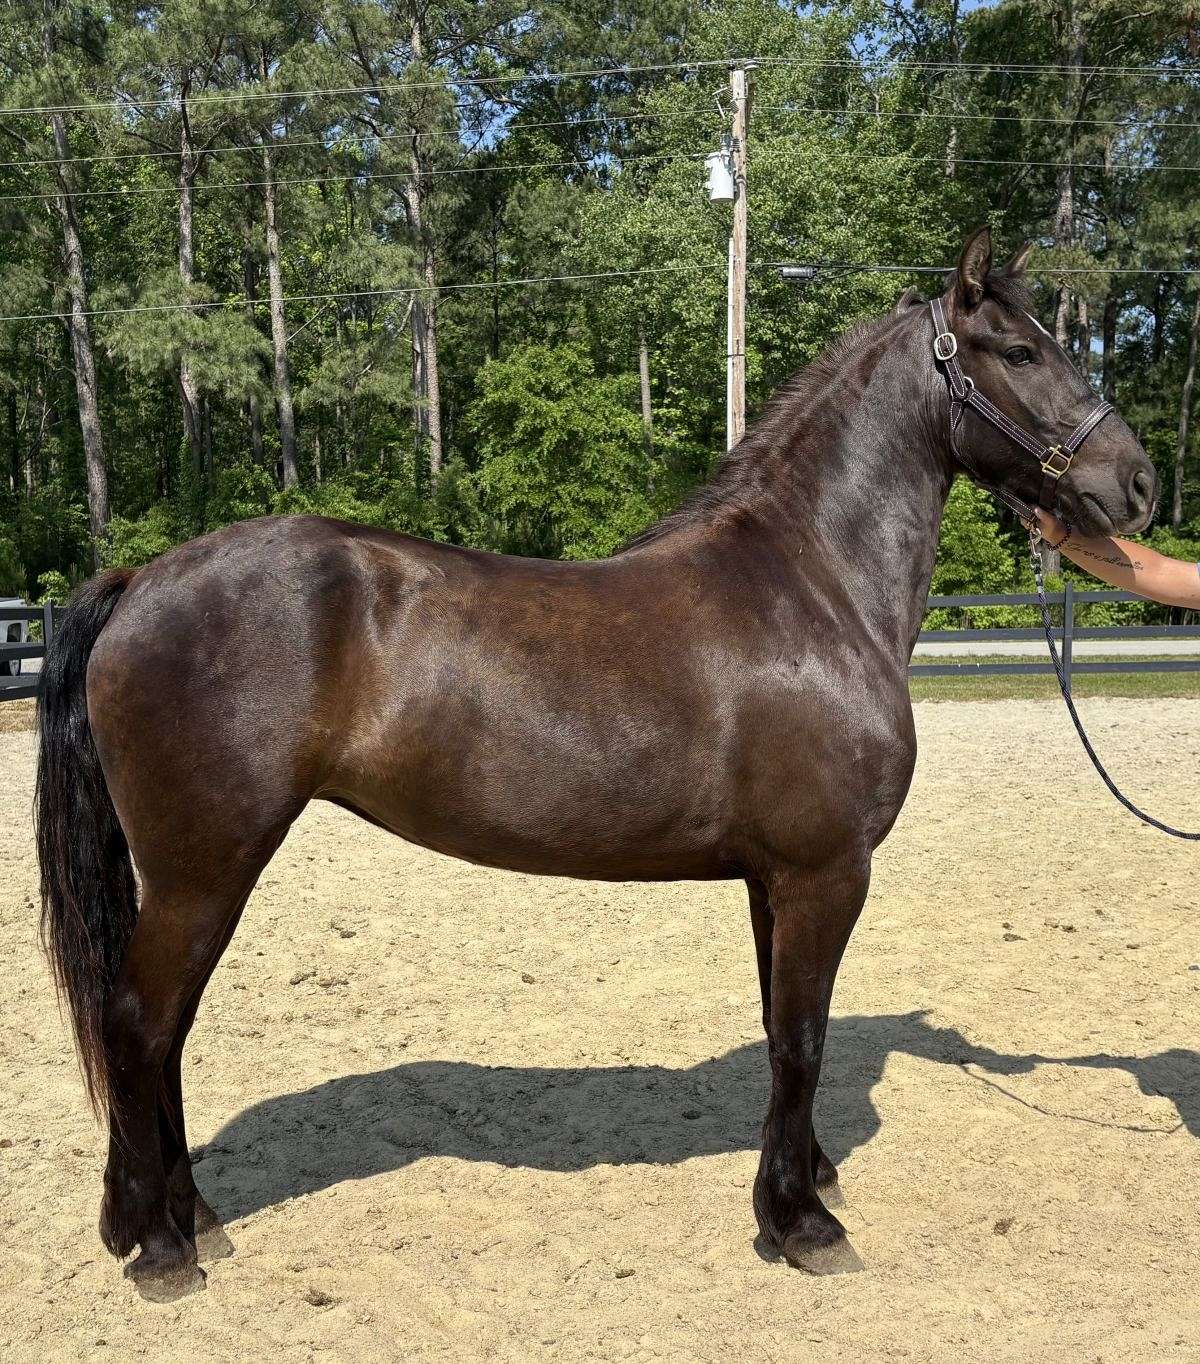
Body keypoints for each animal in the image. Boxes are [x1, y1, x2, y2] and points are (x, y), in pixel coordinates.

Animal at [35, 227, 1157, 1302]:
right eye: (1021, 351)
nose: (1138, 482)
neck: (812, 586)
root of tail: (144, 580)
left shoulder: (772, 880)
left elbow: (783, 1027)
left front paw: (803, 1180)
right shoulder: (825, 871)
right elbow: (802, 1036)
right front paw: (802, 1224)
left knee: (163, 1033)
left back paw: (177, 1217)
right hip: (203, 870)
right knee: (139, 1027)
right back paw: (161, 1245)